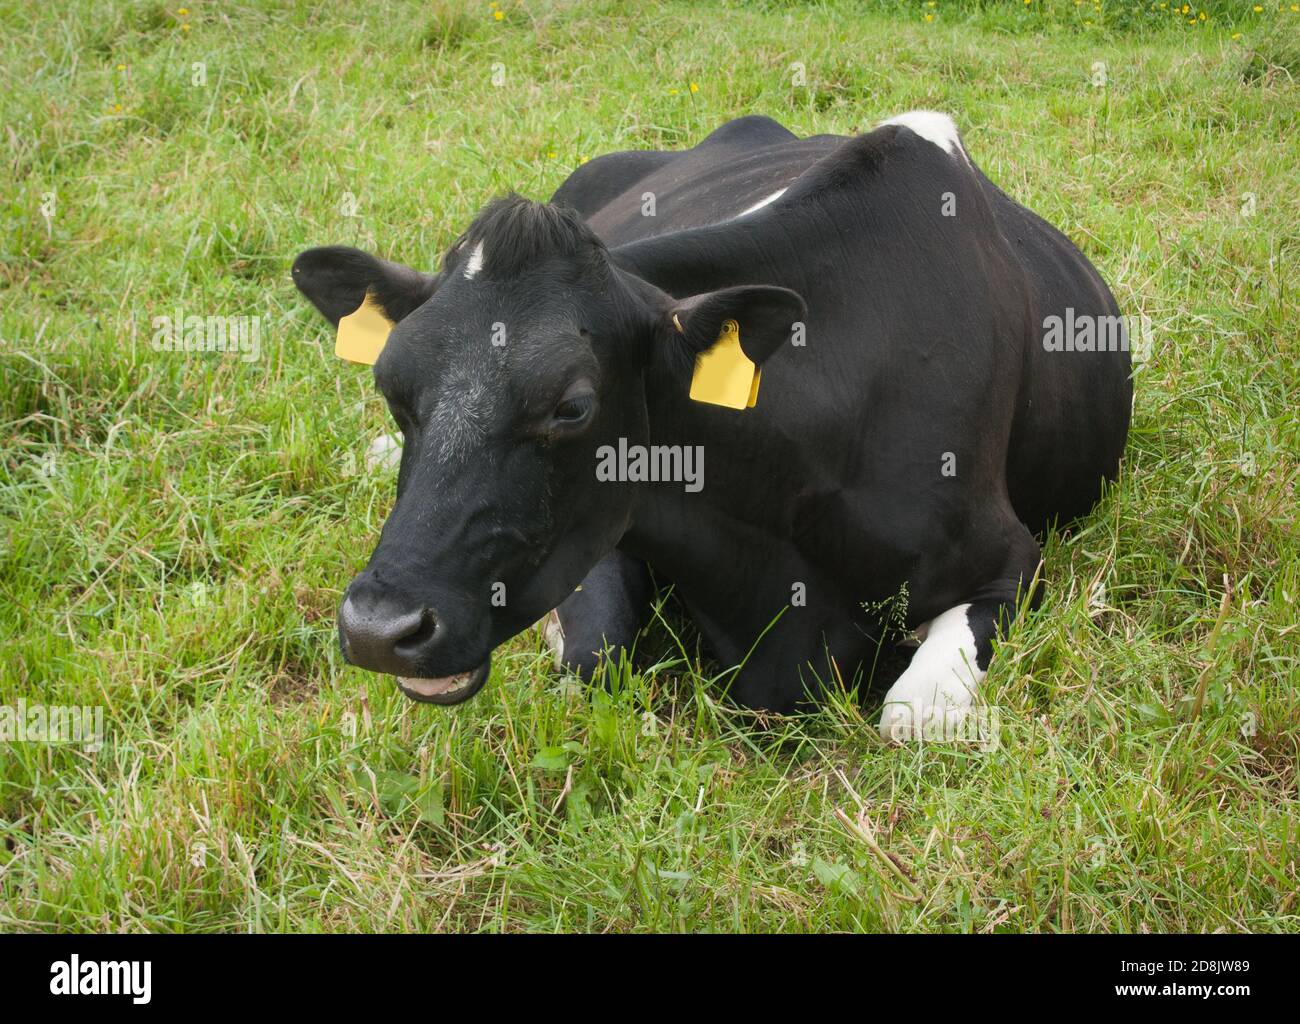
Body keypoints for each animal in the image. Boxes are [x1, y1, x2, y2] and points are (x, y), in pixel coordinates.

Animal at [292, 112, 1132, 740]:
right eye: (391, 386)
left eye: (572, 407)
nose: (380, 628)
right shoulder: (613, 523)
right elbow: (594, 657)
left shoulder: (1010, 555)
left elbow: (911, 717)